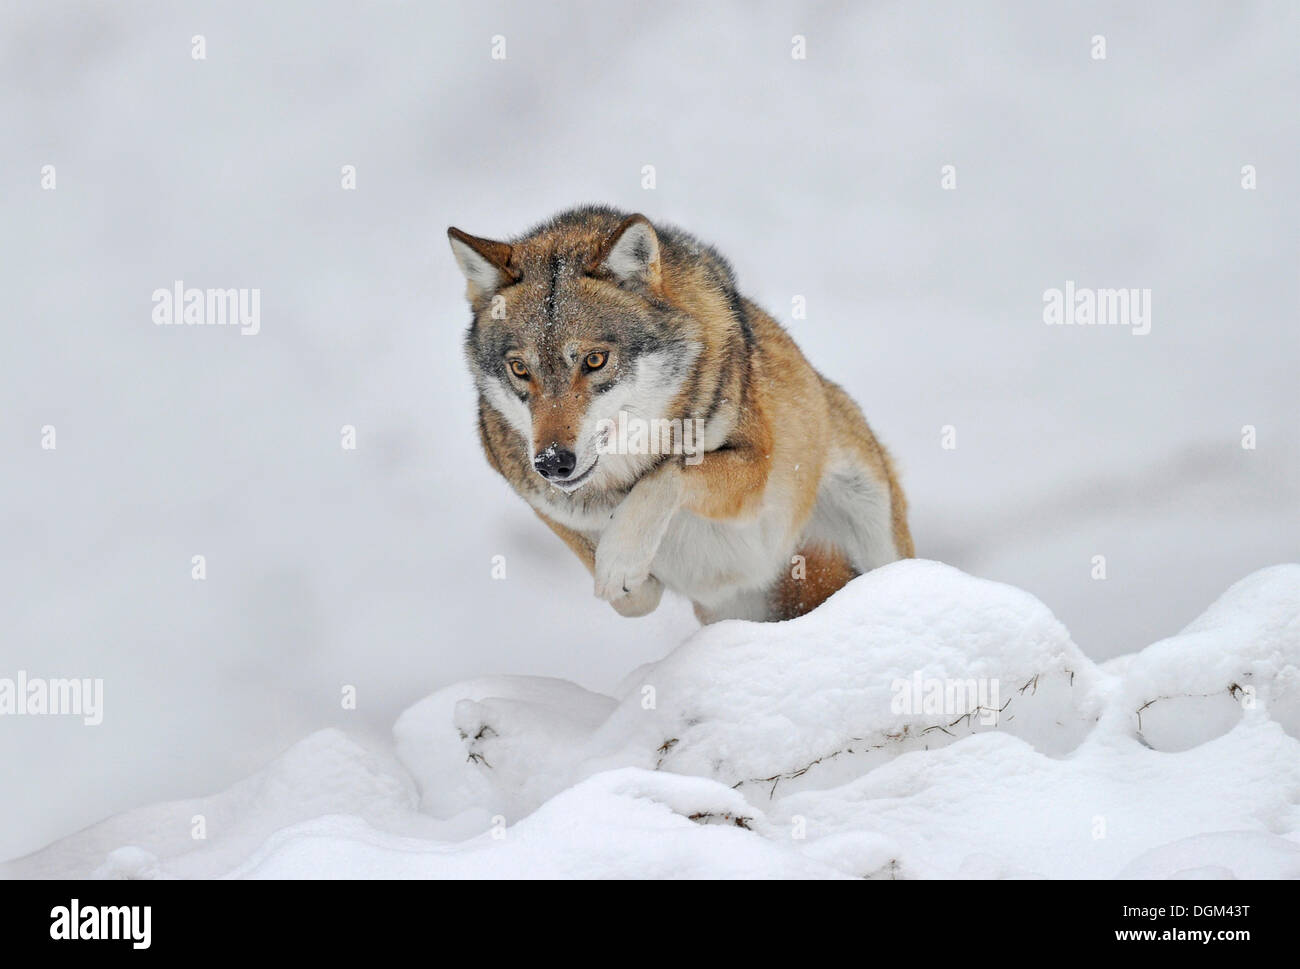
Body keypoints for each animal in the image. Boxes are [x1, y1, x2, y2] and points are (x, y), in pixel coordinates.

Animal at [449, 206, 913, 623]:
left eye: (595, 360)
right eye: (519, 369)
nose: (553, 463)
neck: (617, 481)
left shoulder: (755, 468)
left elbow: (665, 477)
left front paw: (621, 558)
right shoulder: (539, 497)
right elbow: (630, 596)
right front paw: (632, 576)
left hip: (873, 522)